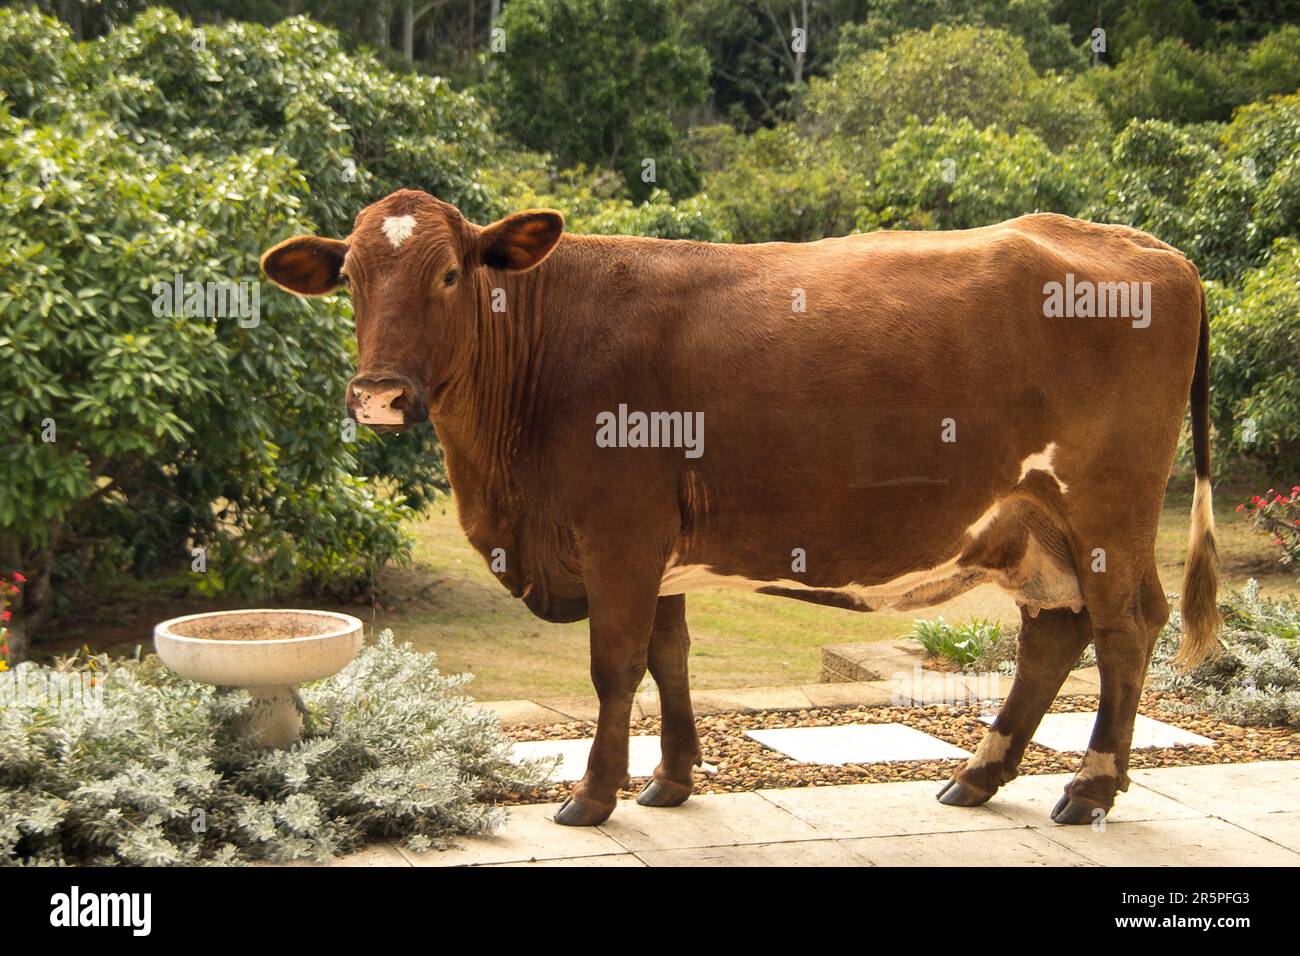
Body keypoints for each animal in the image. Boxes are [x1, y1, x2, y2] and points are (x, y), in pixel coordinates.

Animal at [261, 189, 1221, 827]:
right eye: (351, 278)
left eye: (452, 273)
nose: (379, 396)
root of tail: (1146, 246)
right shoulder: (657, 545)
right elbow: (669, 658)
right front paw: (673, 780)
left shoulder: (619, 530)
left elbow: (615, 667)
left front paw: (593, 794)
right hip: (1030, 523)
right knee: (1055, 632)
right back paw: (980, 775)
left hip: (1106, 509)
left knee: (1126, 627)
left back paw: (1088, 786)